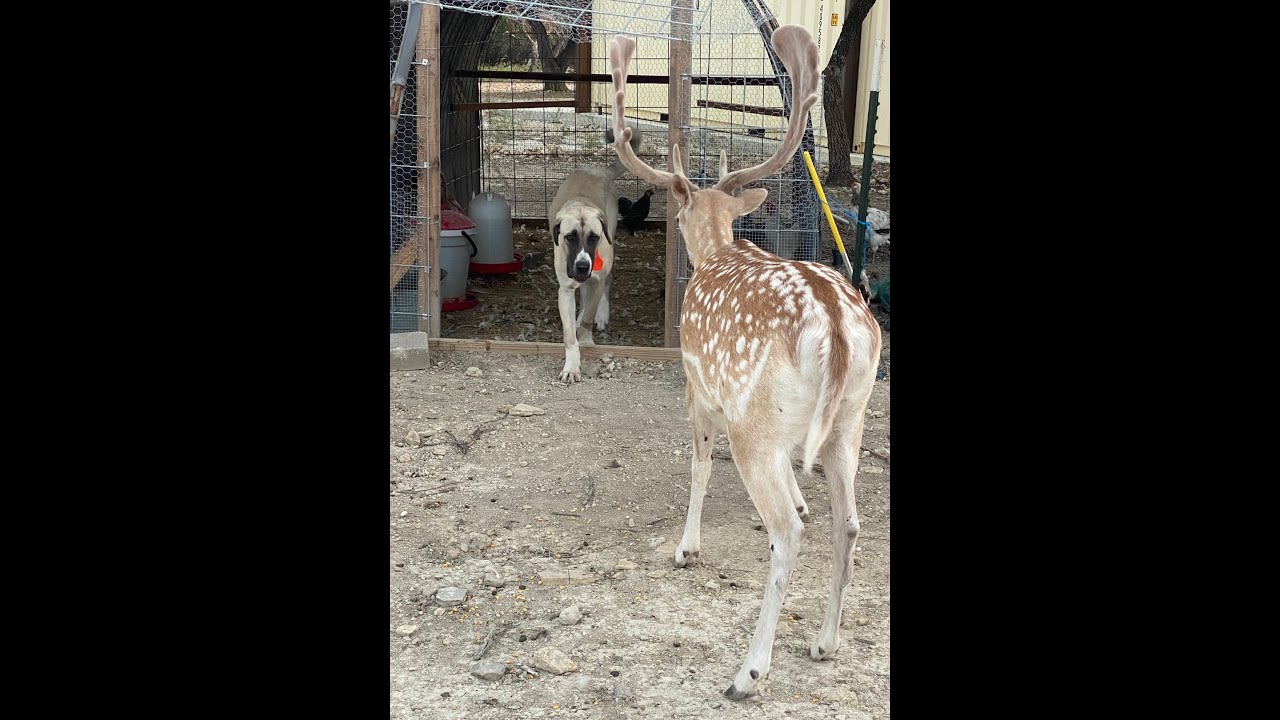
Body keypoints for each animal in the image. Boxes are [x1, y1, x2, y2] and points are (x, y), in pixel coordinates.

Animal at [608, 26, 883, 700]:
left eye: (679, 212)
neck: (717, 251)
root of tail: (836, 327)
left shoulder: (697, 387)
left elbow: (701, 470)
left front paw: (685, 548)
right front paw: (803, 496)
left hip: (752, 421)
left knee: (787, 532)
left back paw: (748, 671)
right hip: (848, 418)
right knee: (849, 522)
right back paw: (825, 640)